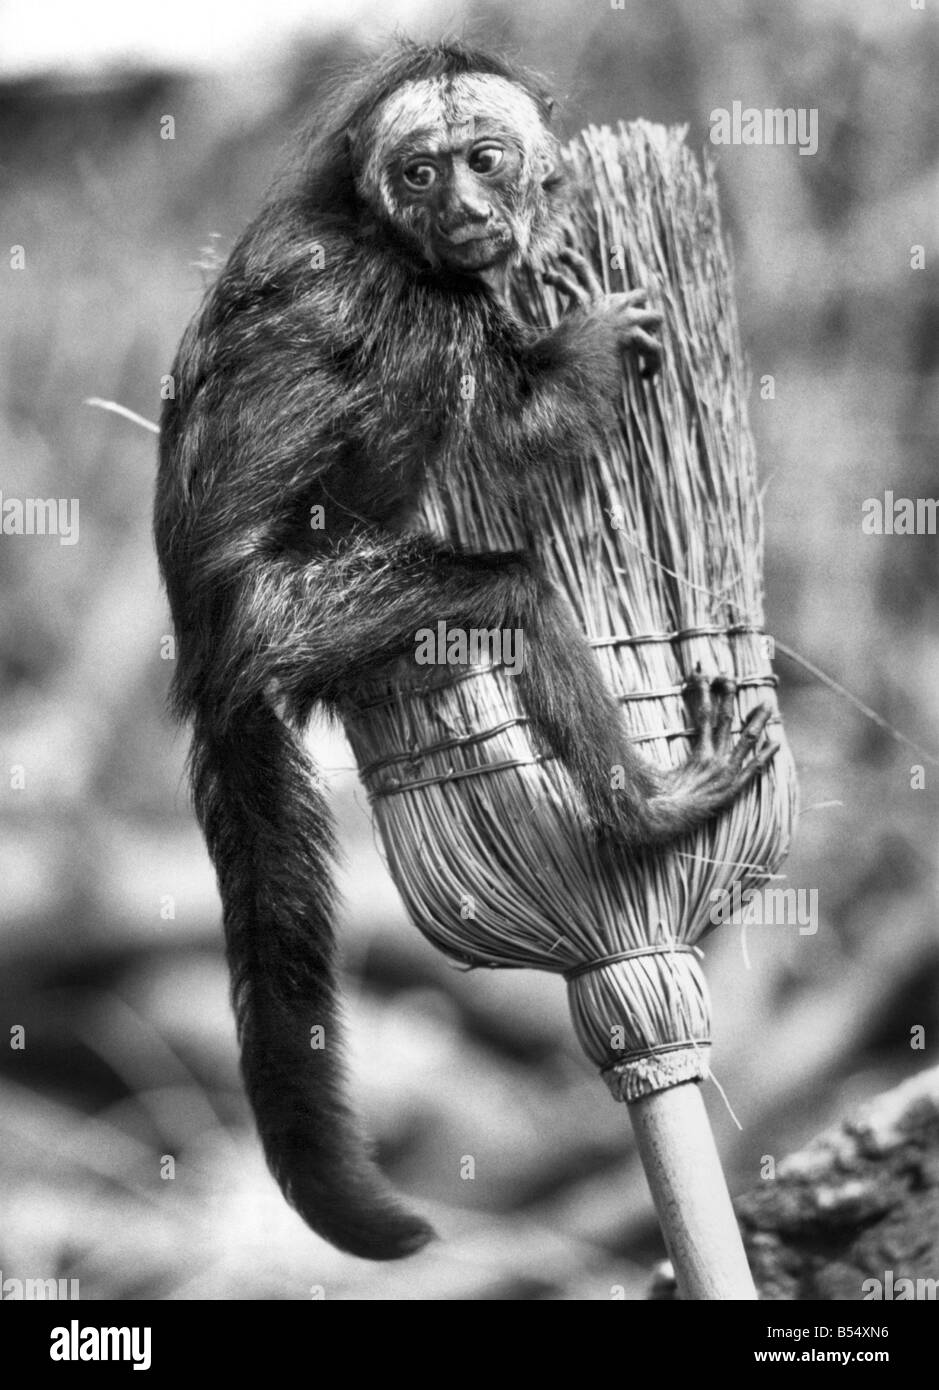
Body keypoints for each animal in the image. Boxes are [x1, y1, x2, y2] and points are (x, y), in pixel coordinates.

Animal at [154, 38, 777, 1261]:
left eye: (483, 159)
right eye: (421, 174)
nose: (468, 207)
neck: (391, 242)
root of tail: (207, 659)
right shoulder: (413, 305)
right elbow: (482, 442)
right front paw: (580, 359)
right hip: (303, 614)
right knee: (504, 584)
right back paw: (646, 811)